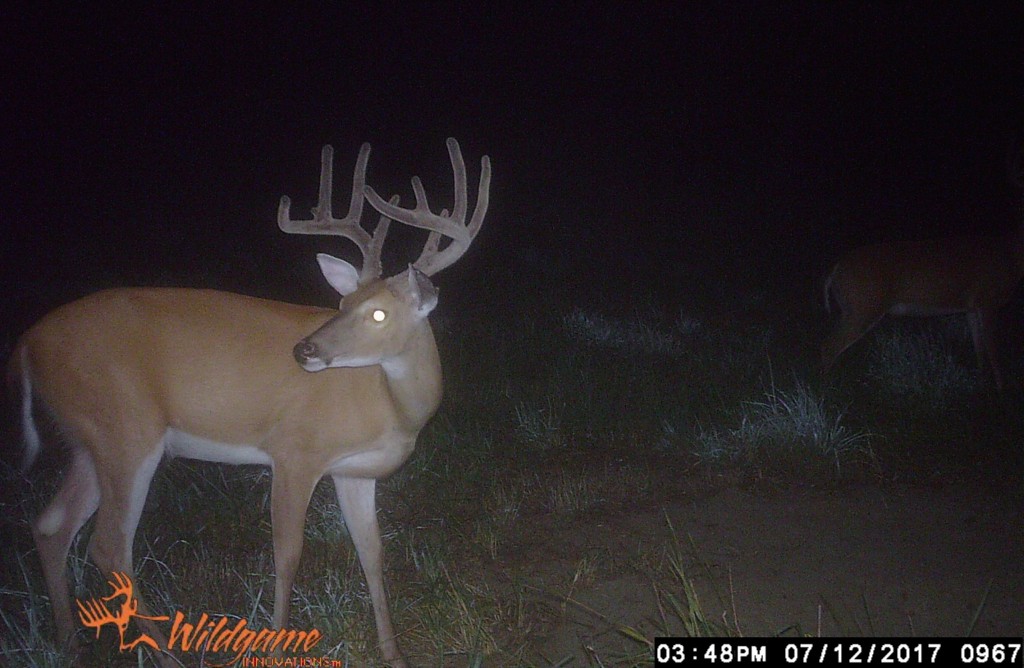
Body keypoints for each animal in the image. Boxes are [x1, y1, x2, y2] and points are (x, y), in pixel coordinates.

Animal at [8, 137, 490, 668]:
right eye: (342, 304)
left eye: (379, 312)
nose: (305, 350)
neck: (392, 408)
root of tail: (27, 343)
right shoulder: (294, 451)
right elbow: (288, 552)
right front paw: (276, 646)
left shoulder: (355, 473)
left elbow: (373, 552)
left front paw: (394, 654)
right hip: (125, 429)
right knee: (109, 545)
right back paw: (164, 654)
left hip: (89, 437)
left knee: (52, 525)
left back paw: (69, 641)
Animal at [821, 150, 1024, 390]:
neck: (1010, 255)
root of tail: (835, 270)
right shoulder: (988, 300)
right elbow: (994, 352)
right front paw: (1002, 389)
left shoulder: (971, 308)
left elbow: (979, 350)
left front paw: (981, 381)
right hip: (863, 306)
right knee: (828, 347)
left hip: (850, 308)